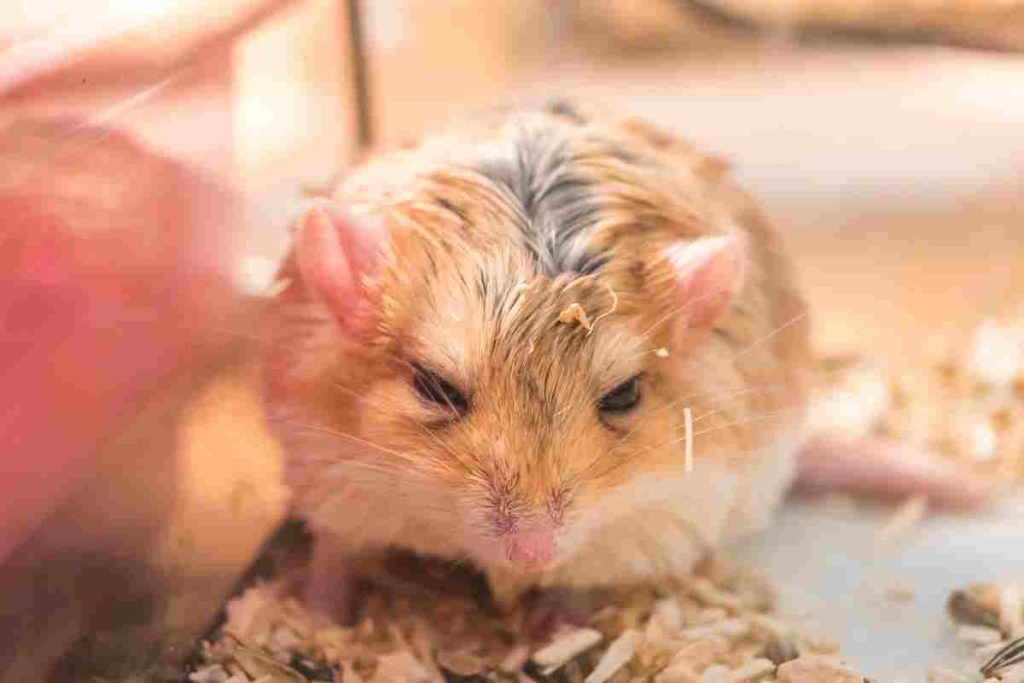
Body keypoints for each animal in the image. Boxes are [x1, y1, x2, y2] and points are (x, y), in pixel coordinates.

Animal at [261, 100, 989, 620]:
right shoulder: (331, 479)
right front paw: (321, 618)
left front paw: (556, 622)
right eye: (434, 386)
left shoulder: (659, 516)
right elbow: (334, 559)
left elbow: (580, 590)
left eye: (624, 395)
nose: (530, 555)